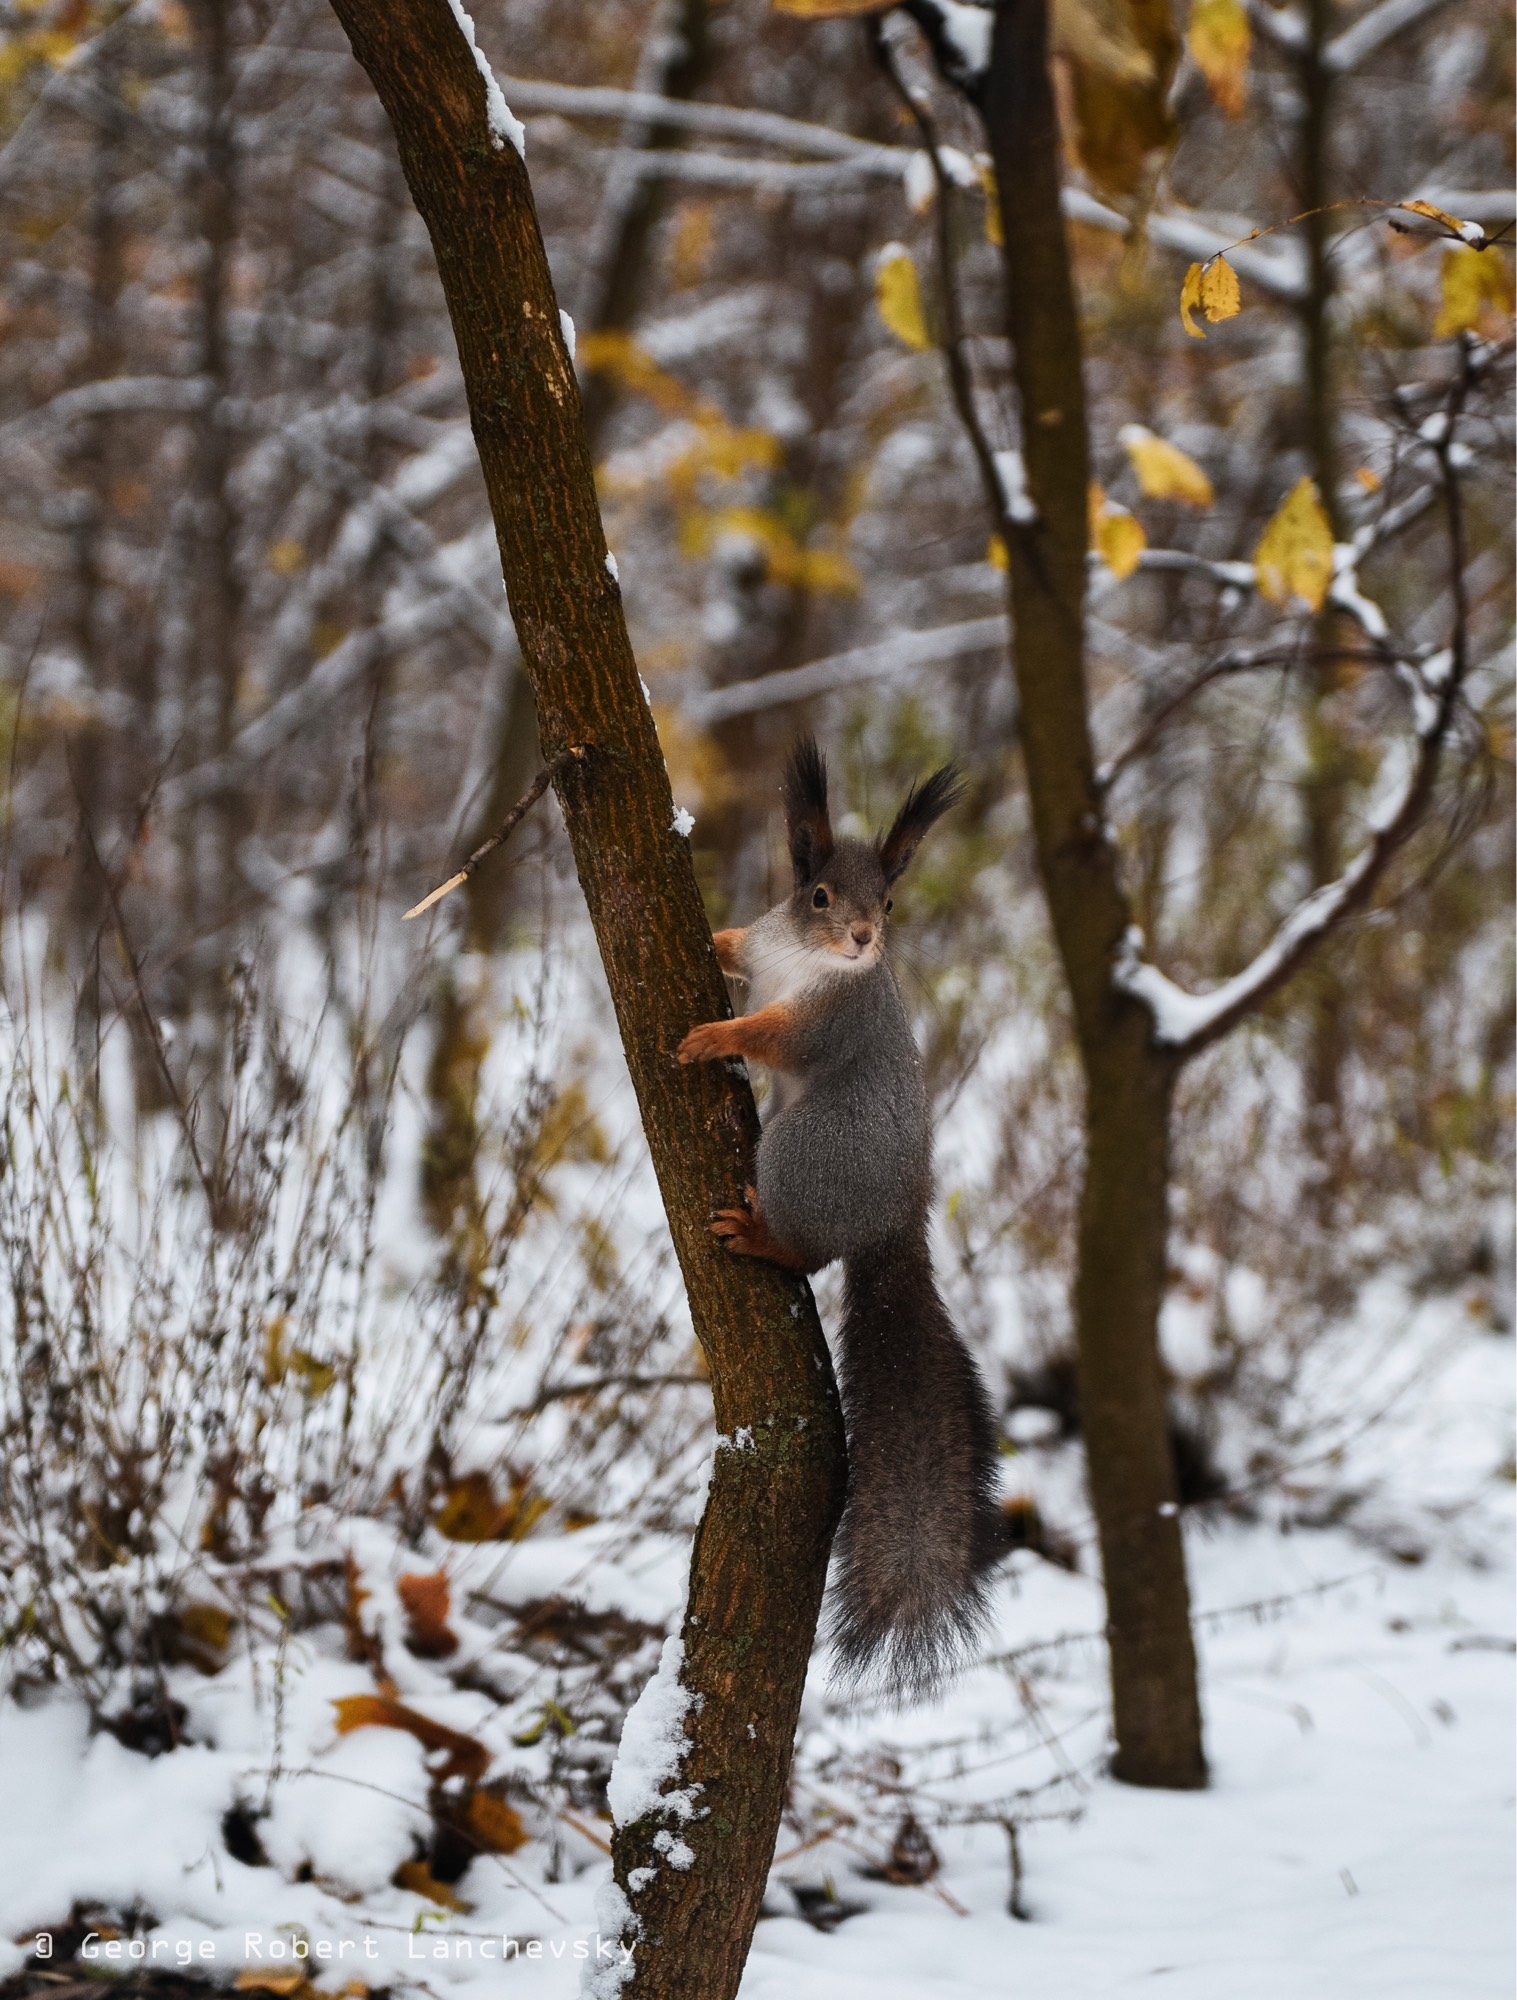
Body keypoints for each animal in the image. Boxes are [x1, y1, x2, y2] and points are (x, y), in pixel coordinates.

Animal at [684, 736, 1004, 1704]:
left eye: (889, 903)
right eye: (819, 894)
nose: (865, 938)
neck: (811, 964)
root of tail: (896, 1217)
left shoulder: (830, 1023)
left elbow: (774, 1036)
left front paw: (716, 1038)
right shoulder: (770, 950)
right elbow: (739, 948)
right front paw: (717, 936)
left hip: (806, 1148)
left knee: (808, 1254)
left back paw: (762, 1238)